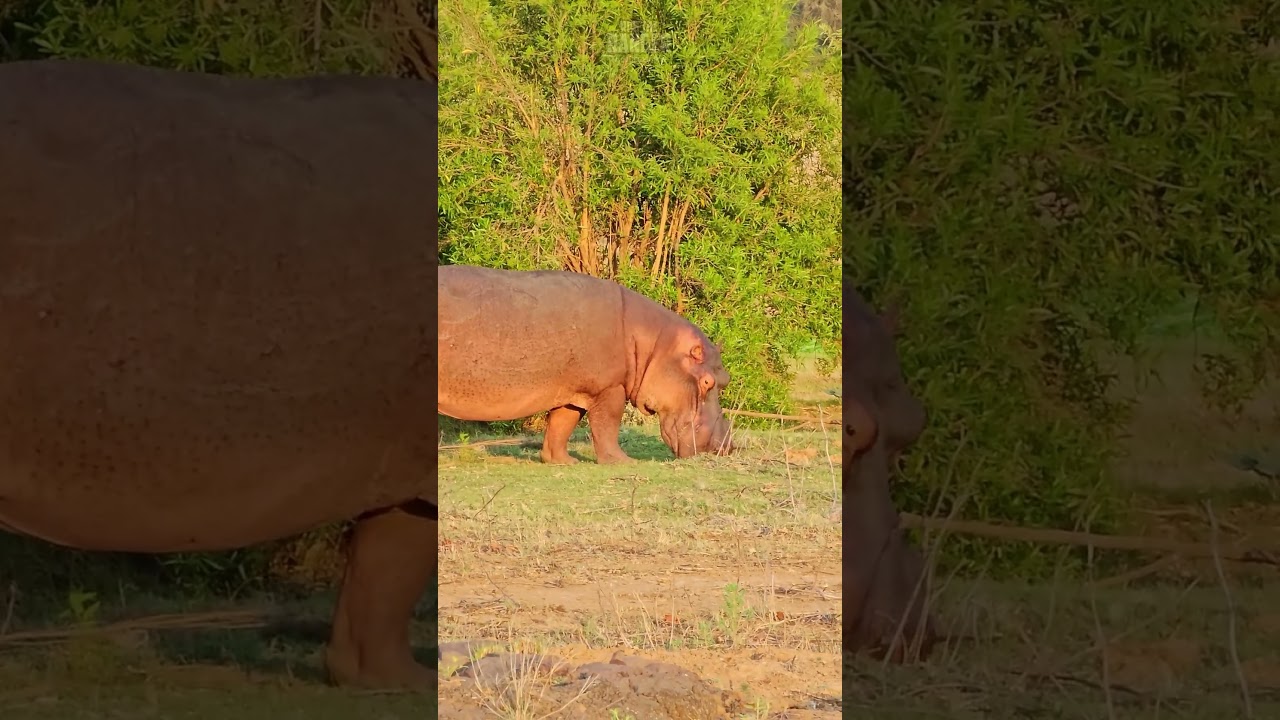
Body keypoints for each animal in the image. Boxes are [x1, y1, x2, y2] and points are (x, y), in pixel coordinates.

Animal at [438, 265, 734, 463]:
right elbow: (607, 425)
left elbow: (561, 425)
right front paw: (624, 462)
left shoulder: (574, 391)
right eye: (706, 381)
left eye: (725, 379)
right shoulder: (610, 388)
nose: (725, 446)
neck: (655, 345)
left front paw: (563, 462)